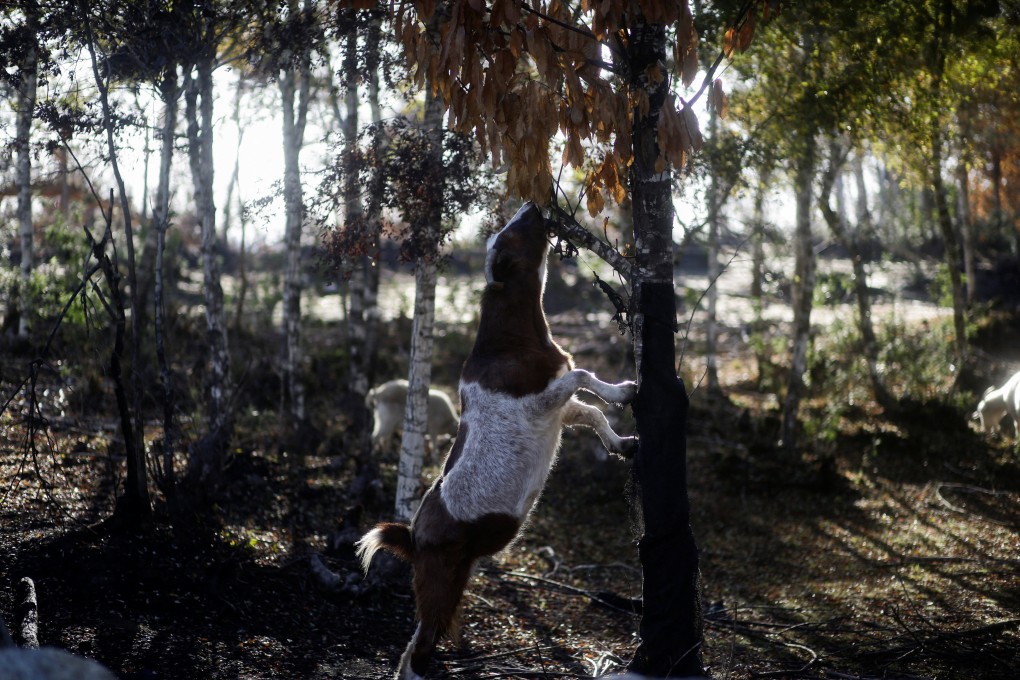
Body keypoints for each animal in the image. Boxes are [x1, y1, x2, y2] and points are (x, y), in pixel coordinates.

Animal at [355, 202, 637, 680]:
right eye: (508, 236)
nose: (531, 205)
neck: (511, 338)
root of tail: (413, 536)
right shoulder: (540, 404)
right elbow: (584, 377)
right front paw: (625, 392)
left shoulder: (558, 412)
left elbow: (592, 409)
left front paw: (622, 441)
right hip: (441, 584)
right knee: (416, 651)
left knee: (415, 648)